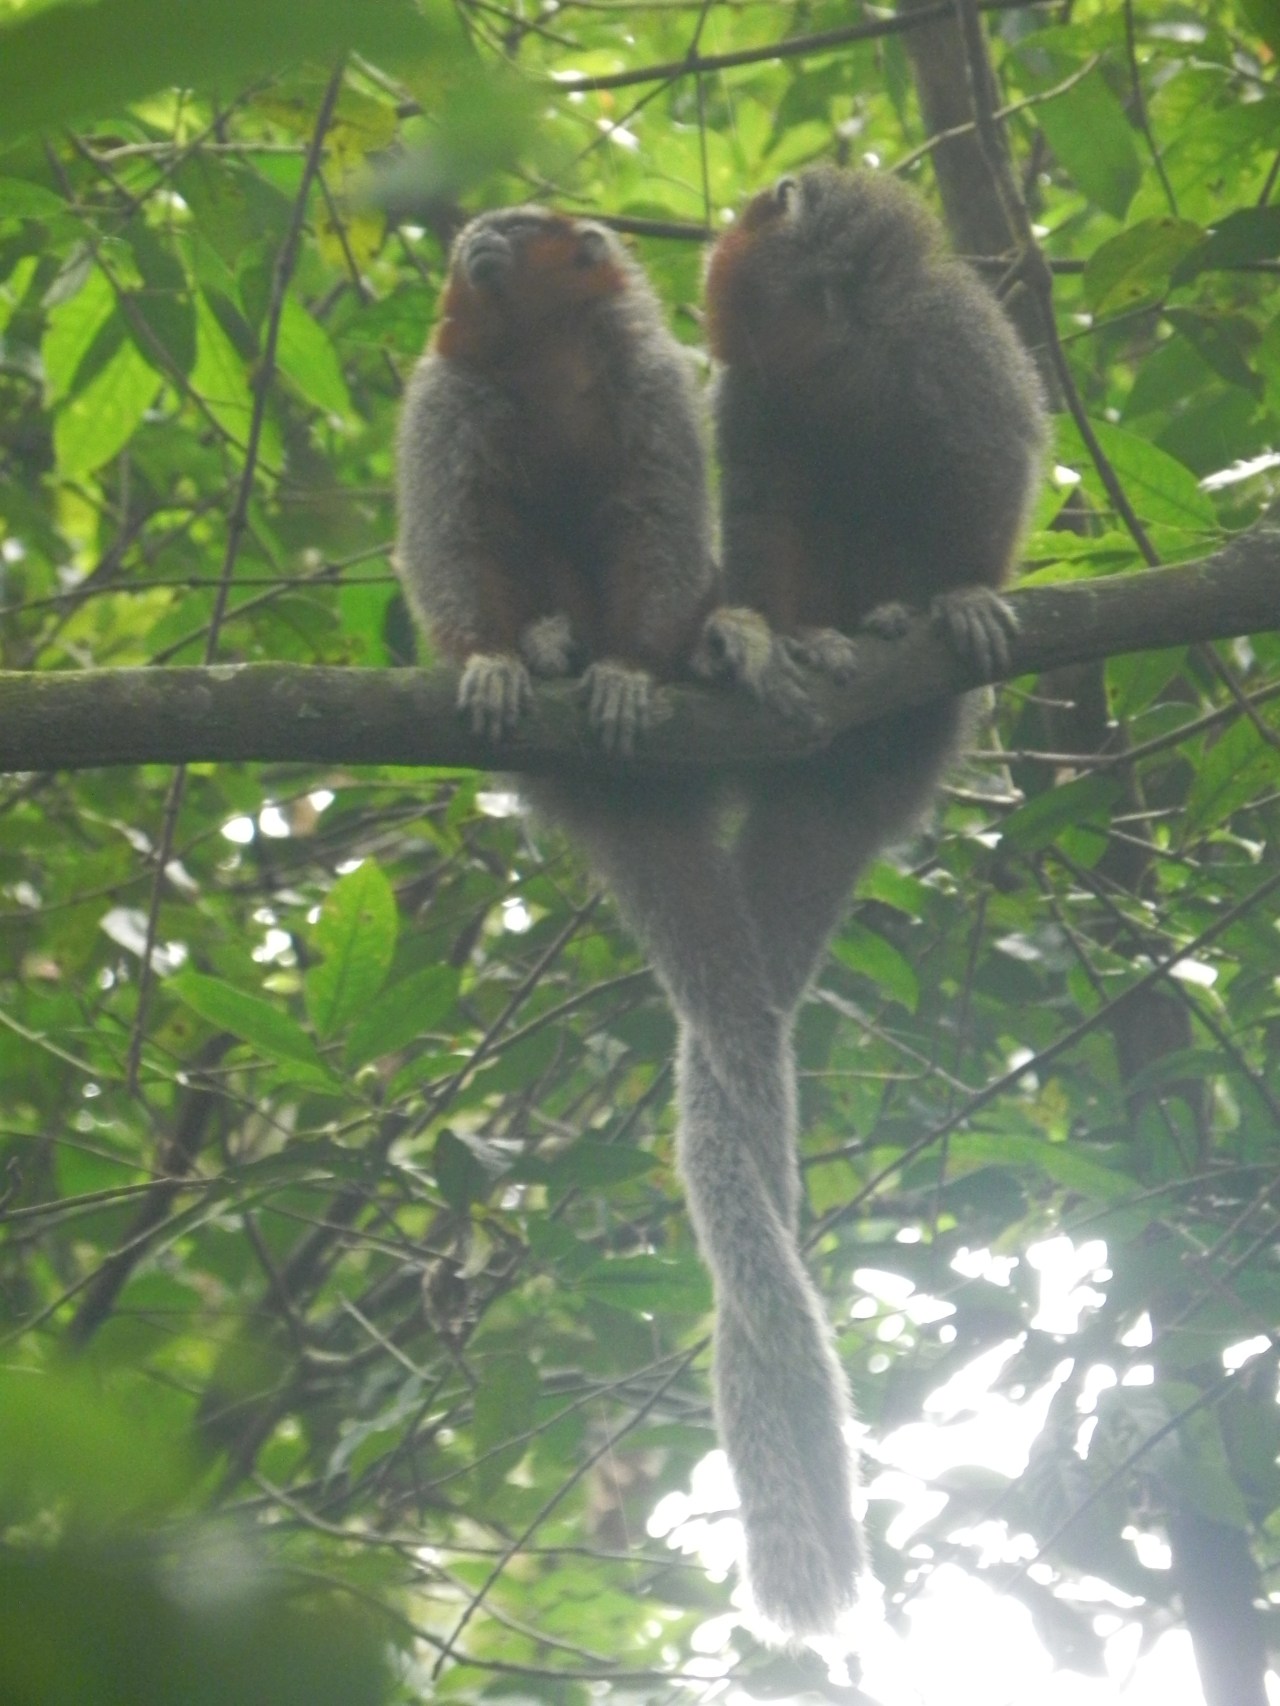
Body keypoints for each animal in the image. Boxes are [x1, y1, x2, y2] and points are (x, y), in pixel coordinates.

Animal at [394, 205, 860, 1641]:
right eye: (477, 233)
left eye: (520, 230)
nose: (479, 238)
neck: (538, 360)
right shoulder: (442, 402)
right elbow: (456, 547)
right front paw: (502, 655)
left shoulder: (650, 389)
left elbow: (655, 524)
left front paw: (628, 668)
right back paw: (546, 645)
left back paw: (693, 656)